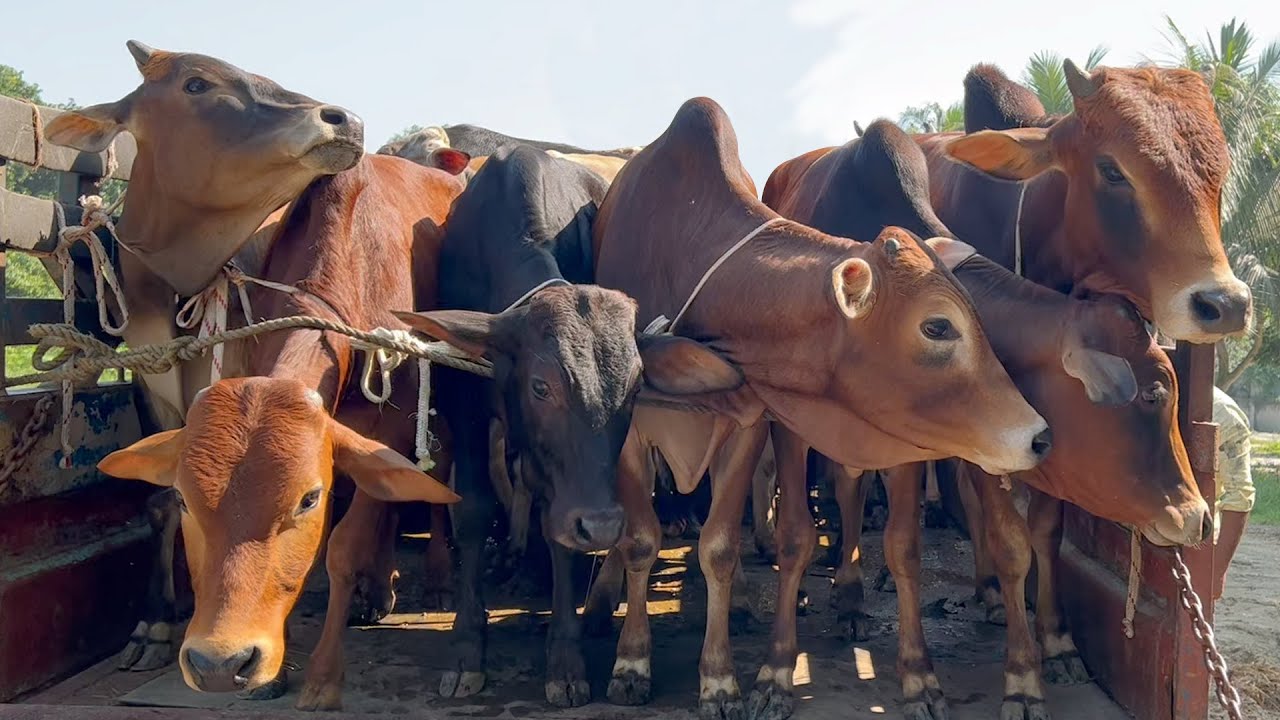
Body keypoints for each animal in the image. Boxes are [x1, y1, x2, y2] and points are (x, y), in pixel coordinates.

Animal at [392, 144, 741, 708]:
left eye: (635, 386)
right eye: (541, 387)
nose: (600, 525)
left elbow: (558, 531)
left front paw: (565, 659)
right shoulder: (465, 406)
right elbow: (474, 513)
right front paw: (467, 649)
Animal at [590, 96, 1051, 720]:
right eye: (937, 326)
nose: (1038, 435)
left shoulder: (751, 423)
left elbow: (722, 547)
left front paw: (720, 679)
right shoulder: (634, 431)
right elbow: (642, 540)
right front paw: (632, 662)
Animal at [763, 117, 1209, 720]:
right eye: (1153, 397)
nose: (1197, 518)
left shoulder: (994, 450)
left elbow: (1026, 537)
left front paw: (1056, 644)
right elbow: (1002, 547)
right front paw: (1017, 679)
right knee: (844, 490)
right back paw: (845, 593)